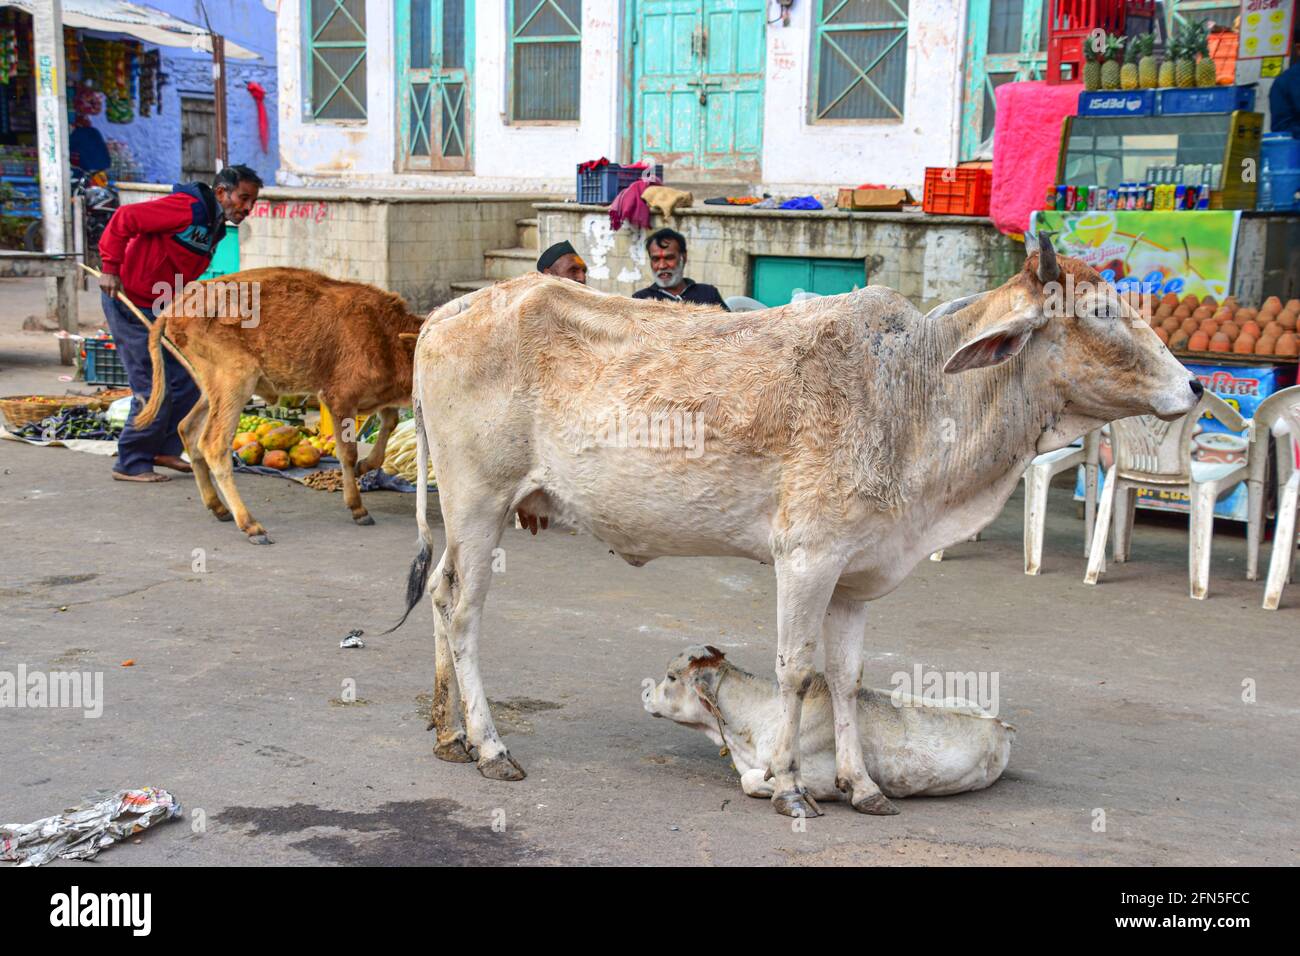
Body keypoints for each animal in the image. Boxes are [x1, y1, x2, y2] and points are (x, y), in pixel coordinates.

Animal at [132, 267, 424, 543]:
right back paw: (251, 526)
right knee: (213, 444)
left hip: (212, 391)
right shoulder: (340, 398)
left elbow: (389, 426)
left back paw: (219, 507)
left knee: (188, 429)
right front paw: (357, 507)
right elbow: (348, 452)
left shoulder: (381, 399)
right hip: (236, 382)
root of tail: (176, 307)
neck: (388, 335)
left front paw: (366, 468)